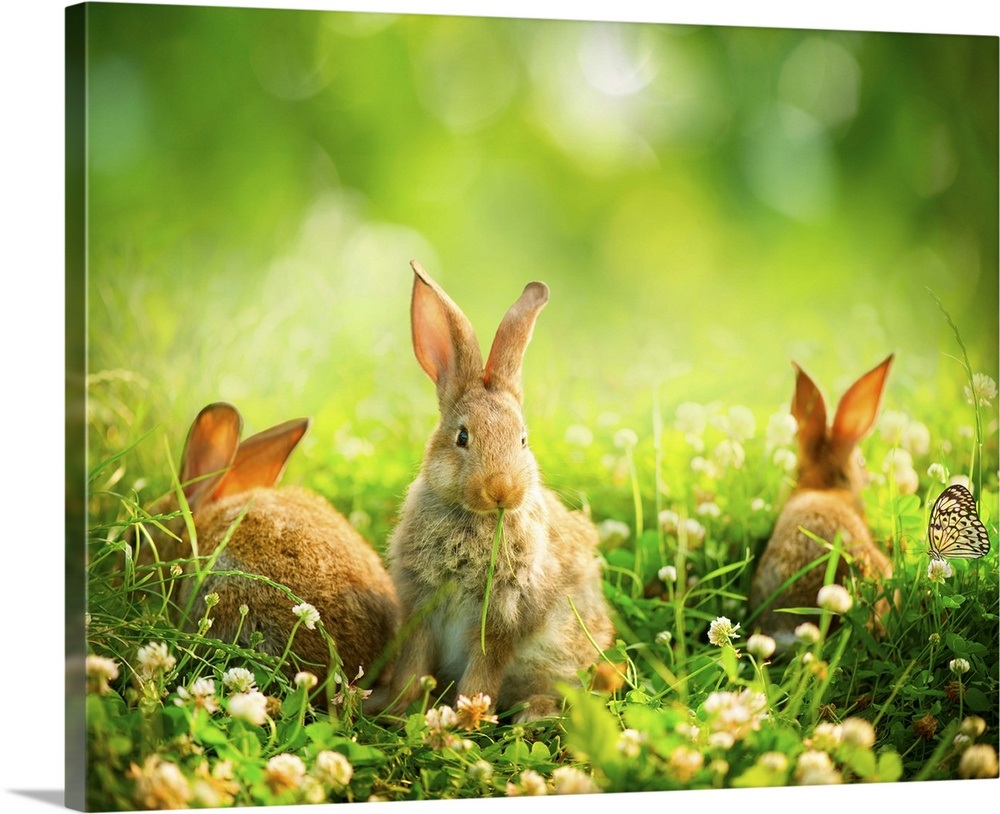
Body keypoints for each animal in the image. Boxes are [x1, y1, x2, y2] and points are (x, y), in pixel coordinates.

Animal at [384, 260, 615, 724]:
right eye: (462, 437)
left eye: (523, 440)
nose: (501, 490)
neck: (477, 519)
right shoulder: (420, 607)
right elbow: (413, 666)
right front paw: (399, 710)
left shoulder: (503, 620)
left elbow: (482, 674)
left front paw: (466, 720)